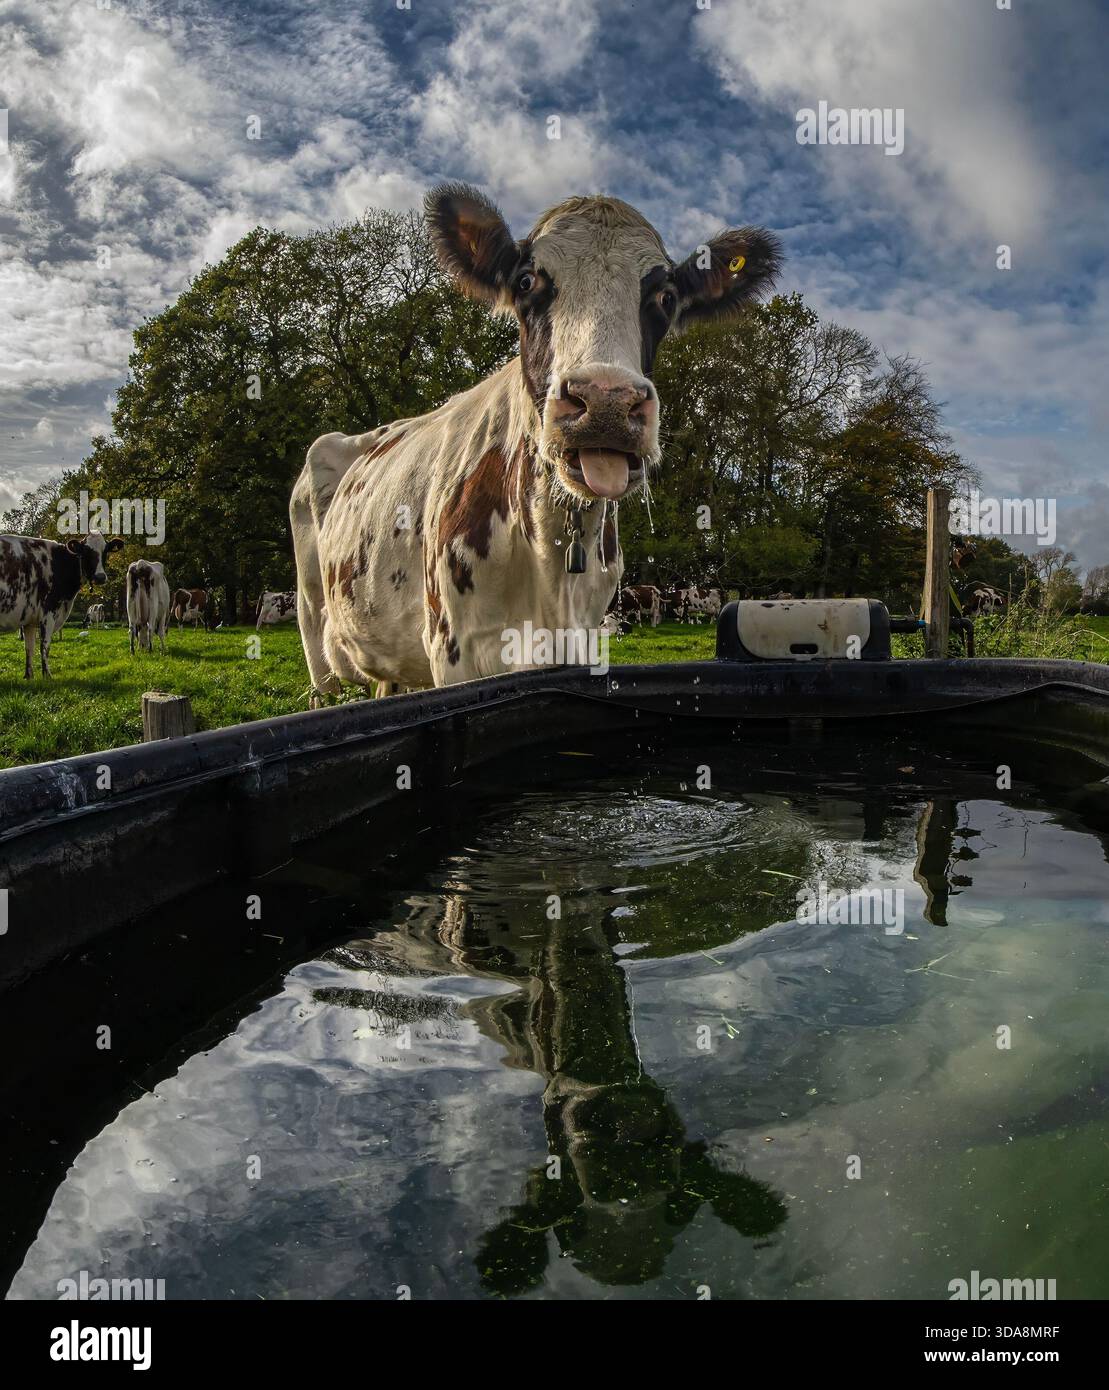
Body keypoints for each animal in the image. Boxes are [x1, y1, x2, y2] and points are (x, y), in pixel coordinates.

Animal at [0, 531, 124, 678]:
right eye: (86, 550)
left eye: (106, 550)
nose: (100, 577)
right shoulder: (49, 611)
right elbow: (45, 646)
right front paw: (47, 675)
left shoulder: (29, 618)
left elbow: (29, 648)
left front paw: (28, 676)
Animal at [290, 184, 780, 701]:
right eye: (526, 282)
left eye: (665, 297)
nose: (605, 401)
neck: (548, 559)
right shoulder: (453, 650)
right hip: (315, 638)